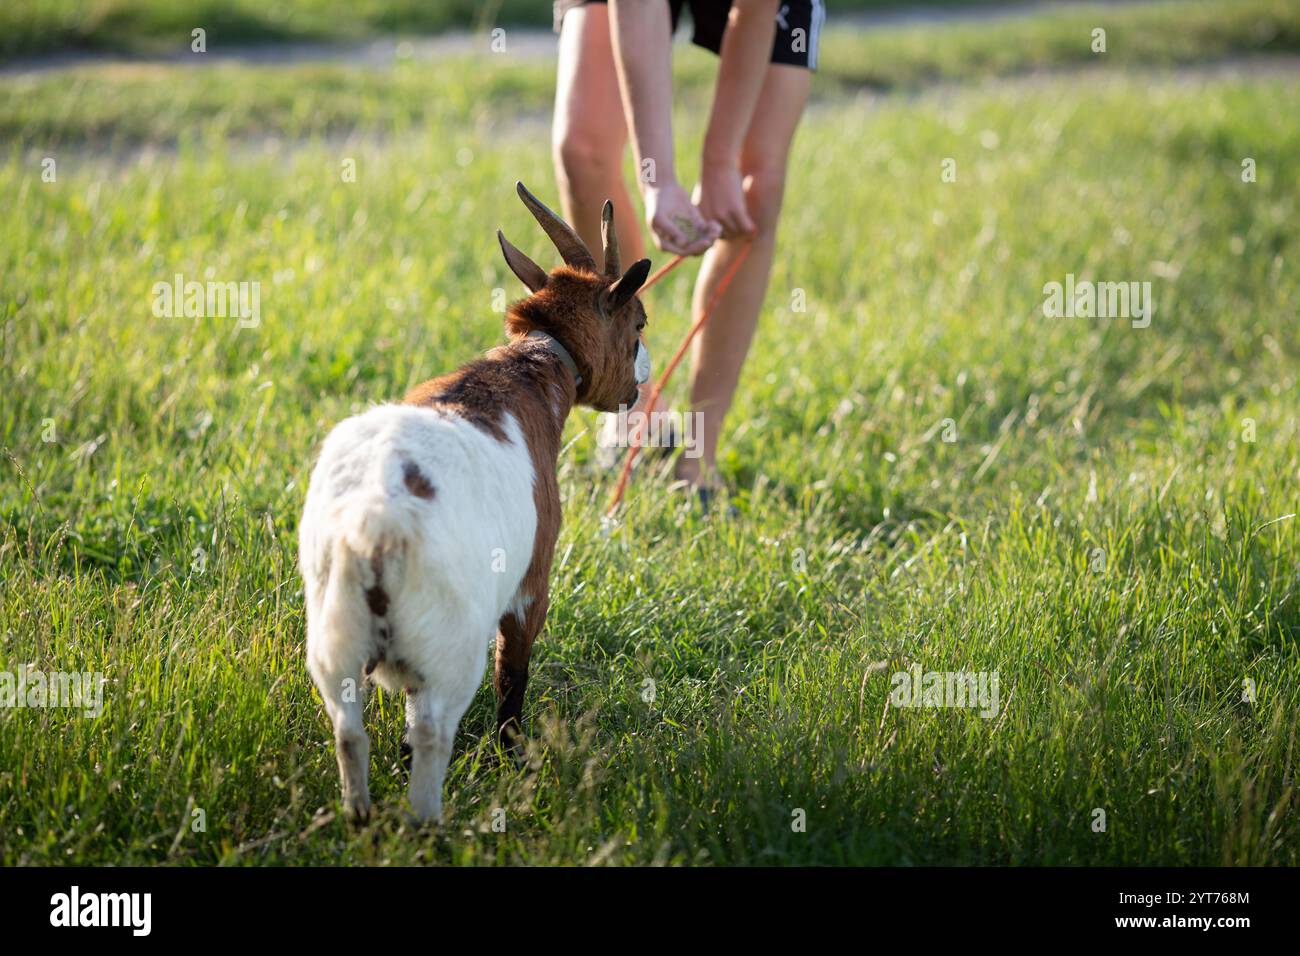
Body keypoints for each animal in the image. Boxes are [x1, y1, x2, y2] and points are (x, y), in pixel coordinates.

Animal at [298, 182, 652, 823]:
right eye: (638, 321)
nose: (641, 379)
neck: (529, 370)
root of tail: (376, 525)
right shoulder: (529, 582)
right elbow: (513, 675)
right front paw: (513, 759)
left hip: (334, 636)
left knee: (350, 733)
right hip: (450, 643)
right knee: (434, 731)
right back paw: (428, 820)